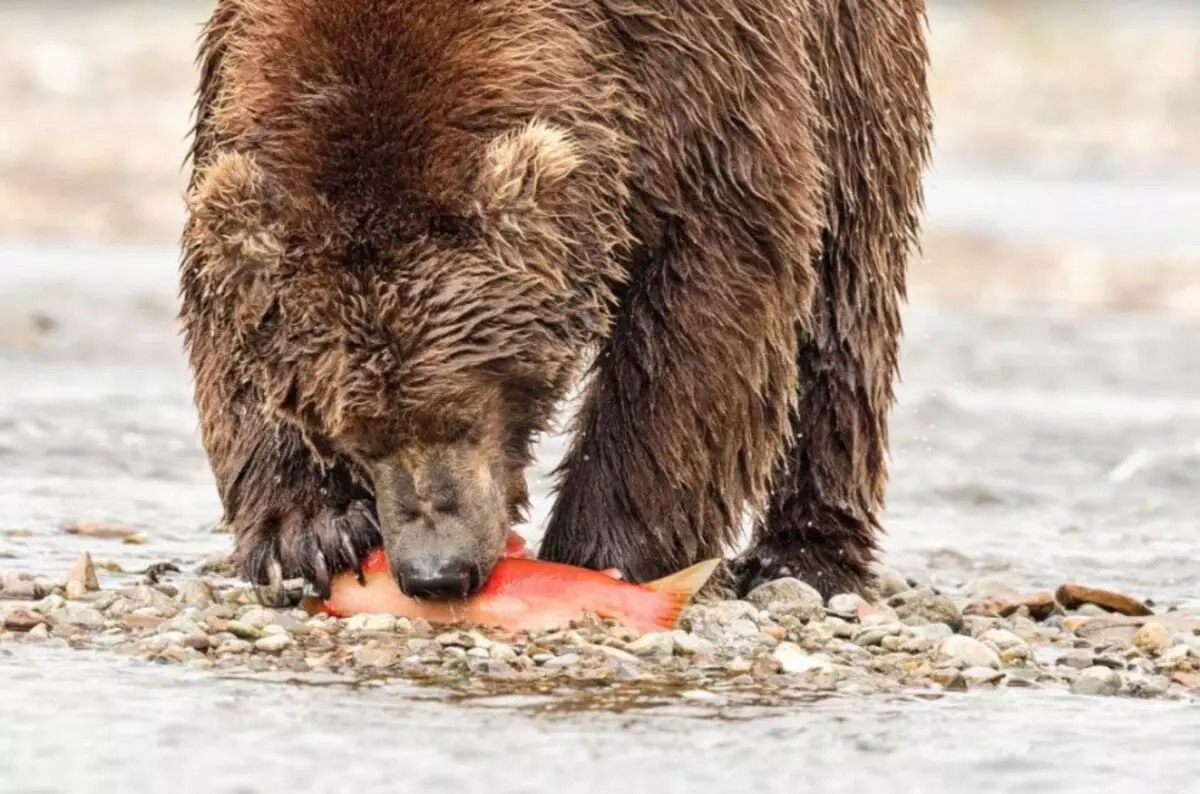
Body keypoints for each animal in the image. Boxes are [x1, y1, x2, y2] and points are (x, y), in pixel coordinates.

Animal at [177, 0, 931, 604]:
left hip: (855, 69)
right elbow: (225, 309)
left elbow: (708, 294)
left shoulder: (705, 82)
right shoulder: (235, 90)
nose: (434, 572)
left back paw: (804, 558)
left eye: (465, 414)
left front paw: (600, 551)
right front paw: (309, 531)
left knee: (846, 301)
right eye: (354, 434)